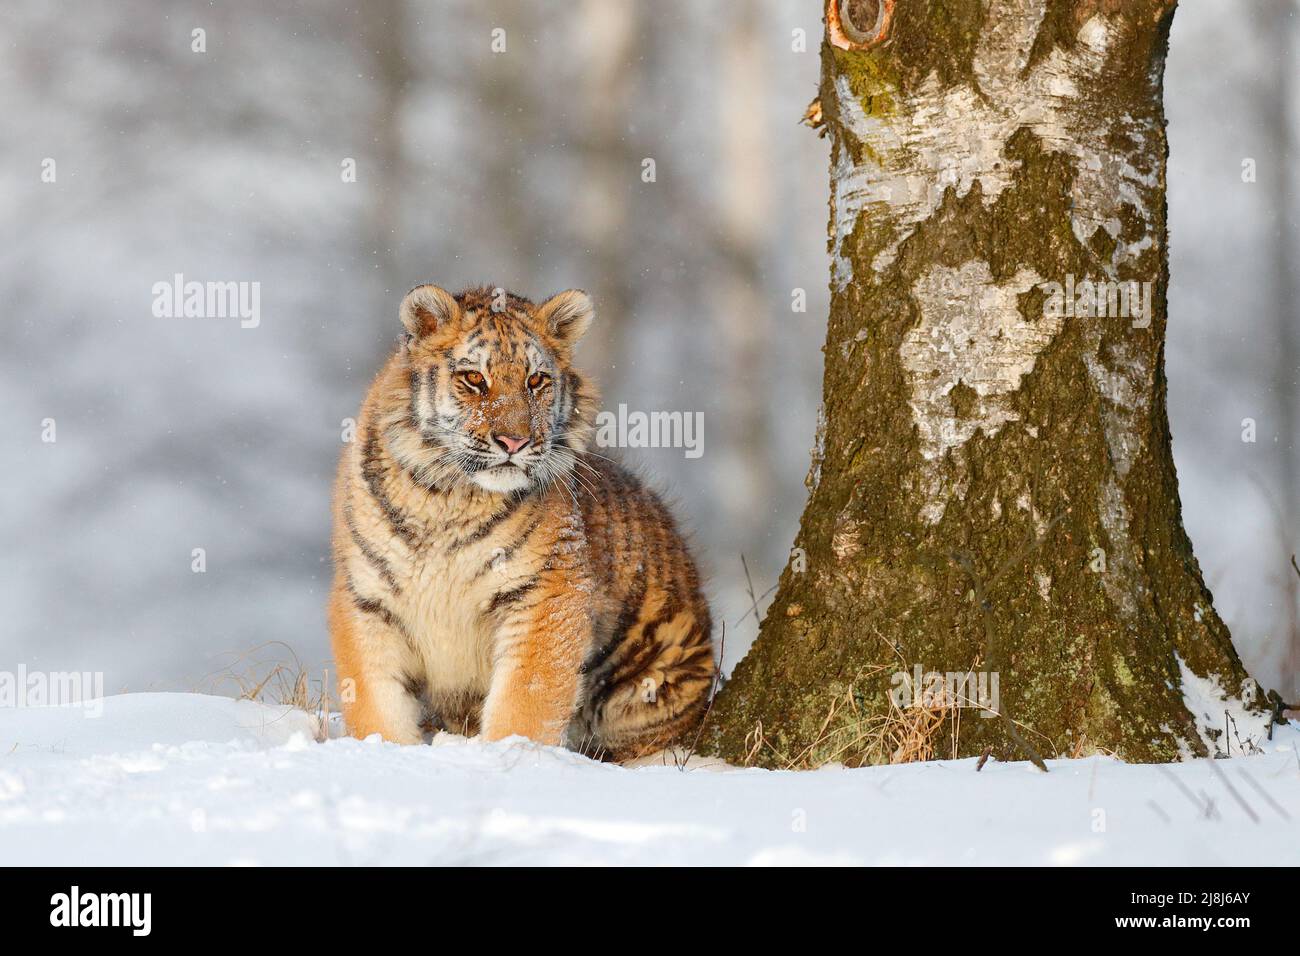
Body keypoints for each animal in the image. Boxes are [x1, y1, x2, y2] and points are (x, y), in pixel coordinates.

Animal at [328, 284, 715, 761]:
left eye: (536, 381)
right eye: (475, 379)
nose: (514, 441)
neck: (448, 497)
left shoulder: (546, 594)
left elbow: (525, 702)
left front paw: (509, 757)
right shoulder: (366, 598)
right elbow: (375, 702)